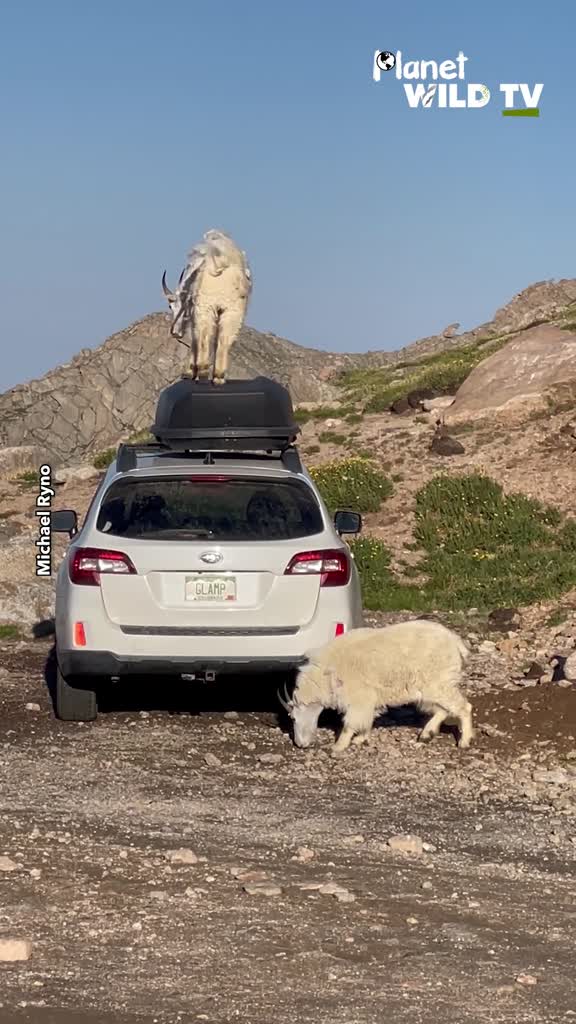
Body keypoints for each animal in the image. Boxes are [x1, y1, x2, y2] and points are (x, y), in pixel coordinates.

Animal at [161, 229, 252, 385]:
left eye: (170, 306)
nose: (175, 333)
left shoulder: (194, 313)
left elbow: (194, 338)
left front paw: (189, 371)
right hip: (233, 310)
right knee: (224, 338)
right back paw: (218, 376)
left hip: (205, 306)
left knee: (203, 335)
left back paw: (203, 371)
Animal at [279, 620, 473, 756]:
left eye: (293, 717)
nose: (300, 744)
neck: (324, 676)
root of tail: (456, 643)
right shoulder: (368, 699)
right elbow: (368, 717)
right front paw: (360, 739)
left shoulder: (357, 696)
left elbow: (350, 722)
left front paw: (339, 745)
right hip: (431, 688)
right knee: (442, 709)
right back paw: (427, 734)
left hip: (440, 683)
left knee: (463, 707)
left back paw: (464, 741)